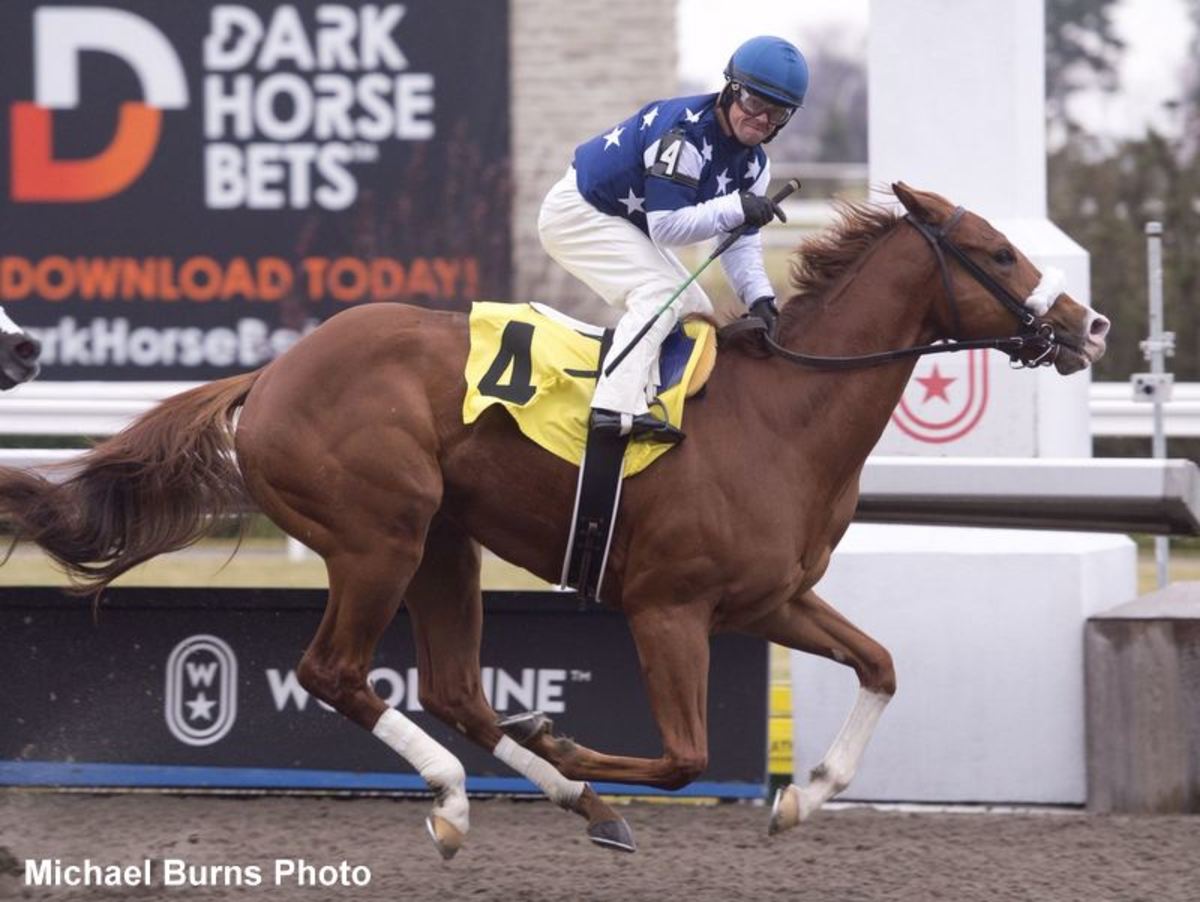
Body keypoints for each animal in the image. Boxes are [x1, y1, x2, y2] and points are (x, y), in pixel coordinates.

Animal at [0, 183, 1109, 858]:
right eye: (996, 250)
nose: (1089, 324)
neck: (784, 417)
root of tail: (270, 375)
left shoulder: (771, 598)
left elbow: (881, 663)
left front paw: (803, 793)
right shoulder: (669, 608)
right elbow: (686, 754)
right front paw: (575, 744)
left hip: (444, 542)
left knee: (454, 686)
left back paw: (574, 802)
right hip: (379, 534)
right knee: (336, 673)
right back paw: (462, 800)